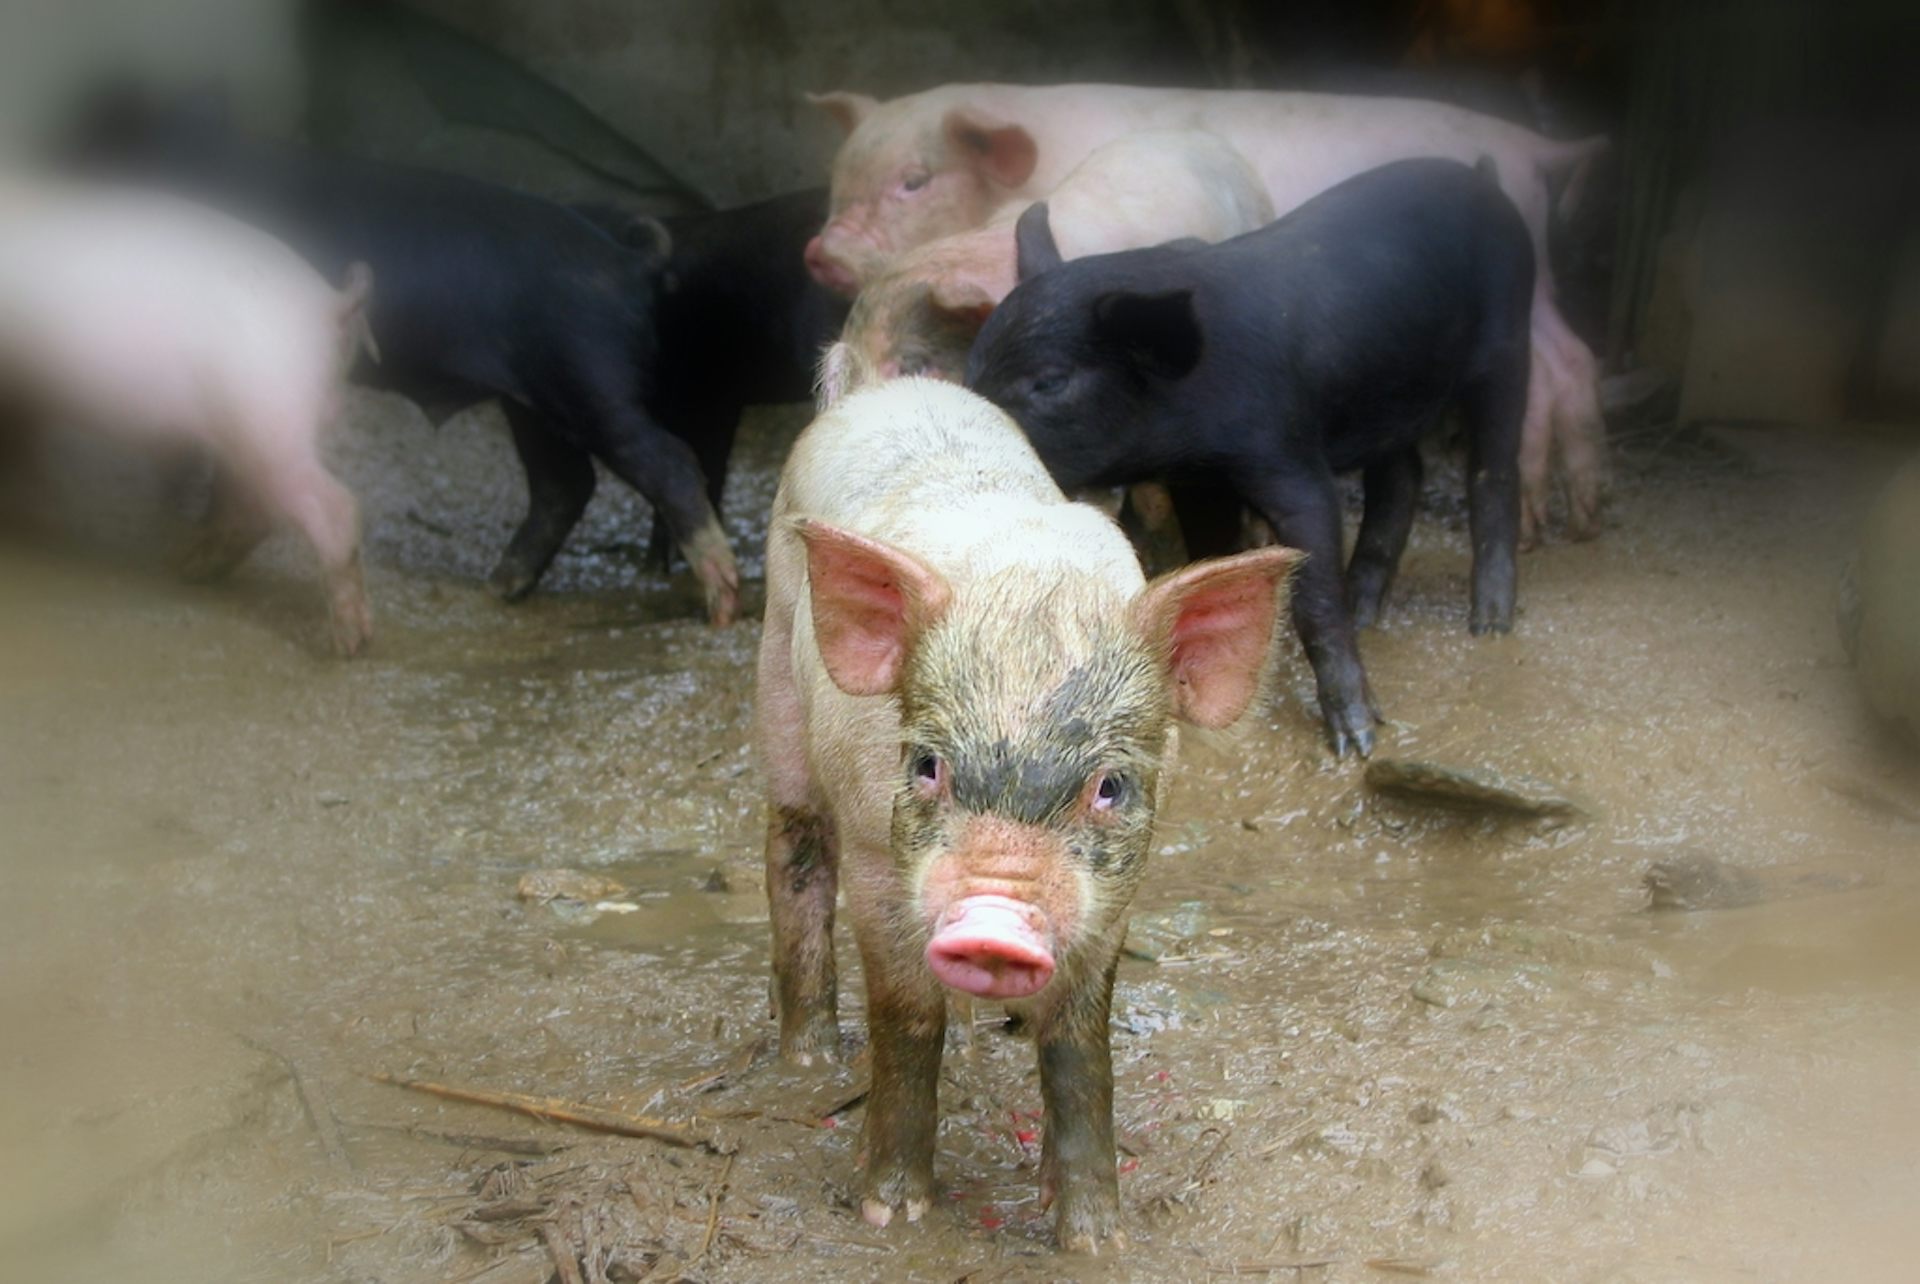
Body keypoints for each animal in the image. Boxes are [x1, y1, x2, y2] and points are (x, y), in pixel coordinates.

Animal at [0, 177, 375, 655]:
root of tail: (330, 303)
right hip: (252, 429)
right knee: (250, 511)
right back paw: (188, 569)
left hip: (270, 414)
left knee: (333, 508)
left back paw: (349, 645)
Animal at [754, 374, 1295, 1250]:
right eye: (927, 765)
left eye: (1108, 786)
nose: (993, 921)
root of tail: (884, 386)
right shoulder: (876, 852)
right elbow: (906, 1016)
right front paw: (890, 1212)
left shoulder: (1118, 888)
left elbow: (1077, 1043)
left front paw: (1095, 1239)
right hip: (777, 688)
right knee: (795, 853)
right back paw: (808, 1062)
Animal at [805, 81, 1607, 545]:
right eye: (837, 181)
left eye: (913, 181)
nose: (821, 251)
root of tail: (1533, 147)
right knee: (1574, 360)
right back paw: (1579, 516)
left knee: (1553, 368)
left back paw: (1547, 527)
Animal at [966, 159, 1536, 758]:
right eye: (975, 360)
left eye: (1050, 382)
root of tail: (1481, 175)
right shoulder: (1198, 482)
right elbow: (1212, 556)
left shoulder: (1289, 458)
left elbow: (1314, 598)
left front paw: (1356, 741)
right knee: (1402, 477)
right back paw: (1366, 609)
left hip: (1508, 338)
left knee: (1493, 468)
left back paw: (1489, 623)